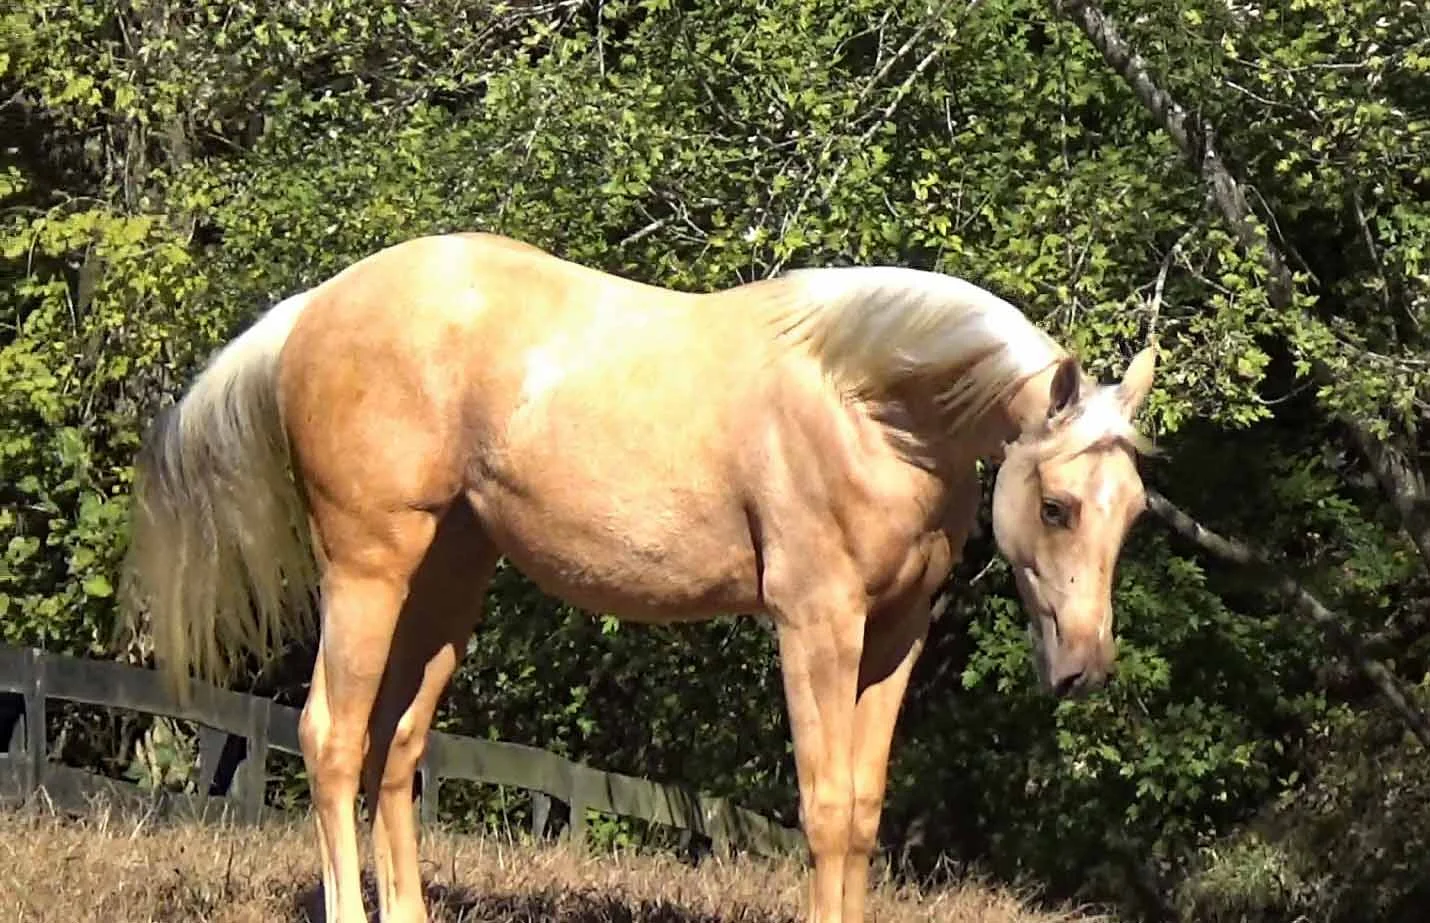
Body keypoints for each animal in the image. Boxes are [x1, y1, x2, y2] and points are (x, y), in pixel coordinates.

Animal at [121, 231, 1157, 923]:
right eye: (1058, 505)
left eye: (1135, 508)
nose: (1084, 667)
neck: (868, 402)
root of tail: (315, 307)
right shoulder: (815, 623)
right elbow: (825, 810)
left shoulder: (893, 636)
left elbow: (862, 813)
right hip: (369, 571)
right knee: (332, 739)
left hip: (446, 587)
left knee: (396, 748)